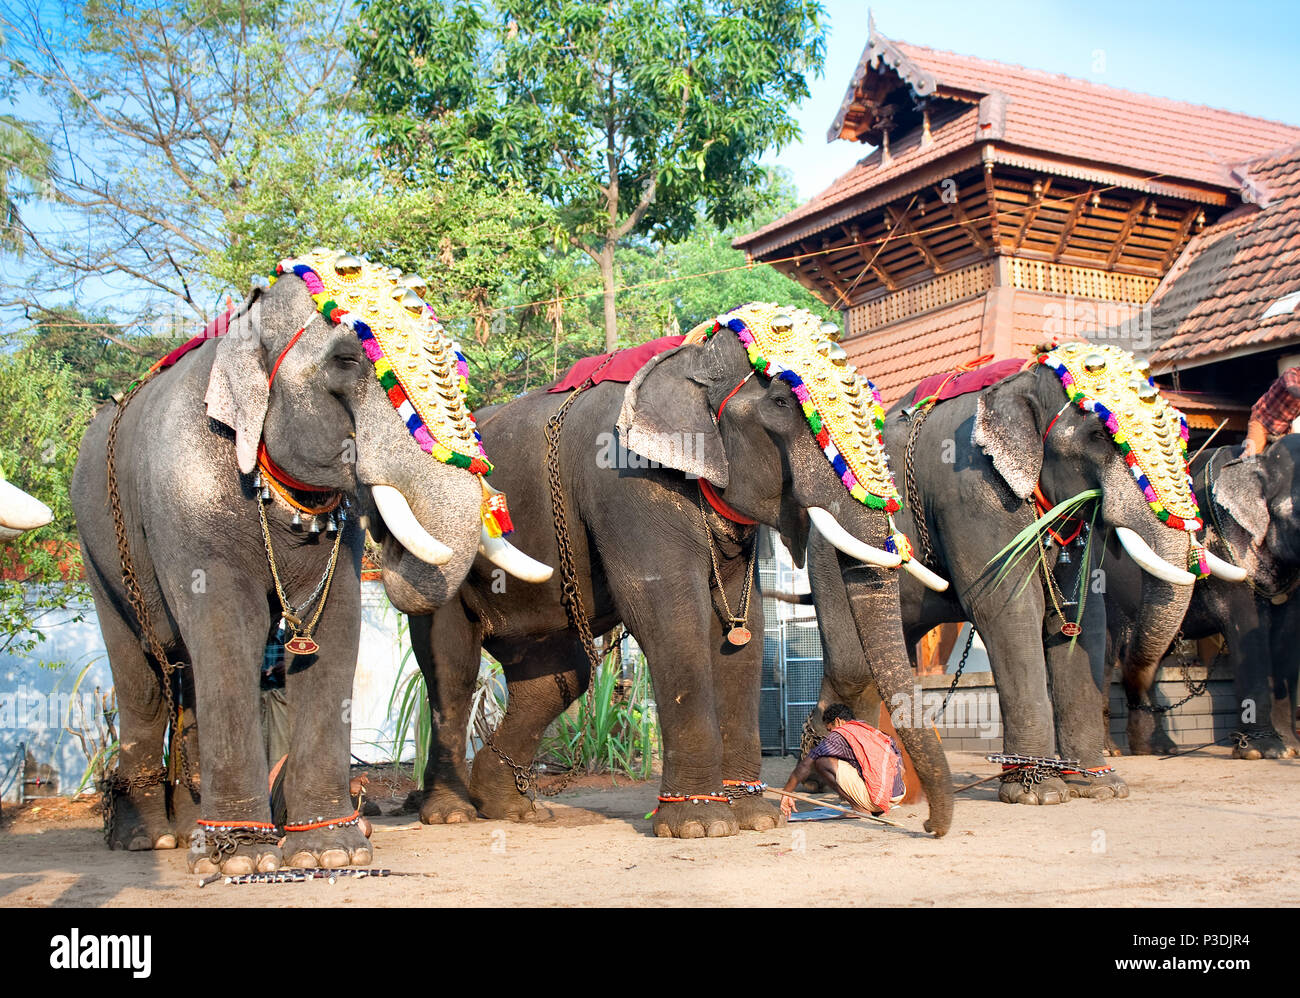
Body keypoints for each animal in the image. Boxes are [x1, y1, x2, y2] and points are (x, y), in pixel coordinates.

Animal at [70, 250, 549, 875]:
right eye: (347, 360)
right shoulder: (185, 497)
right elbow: (228, 626)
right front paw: (244, 861)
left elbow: (337, 627)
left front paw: (330, 851)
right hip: (96, 546)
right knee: (142, 677)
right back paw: (150, 839)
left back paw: (191, 824)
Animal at [401, 306, 954, 839]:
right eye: (780, 403)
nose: (929, 825)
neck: (690, 352)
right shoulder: (624, 479)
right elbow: (669, 612)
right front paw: (699, 825)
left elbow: (743, 628)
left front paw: (753, 818)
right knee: (453, 670)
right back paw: (452, 813)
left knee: (558, 678)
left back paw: (511, 808)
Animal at [803, 344, 1243, 805]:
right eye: (1099, 436)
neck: (1024, 380)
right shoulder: (975, 489)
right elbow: (1010, 607)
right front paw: (1039, 792)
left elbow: (1084, 615)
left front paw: (1100, 786)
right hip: (829, 554)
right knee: (852, 665)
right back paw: (832, 779)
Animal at [1106, 437, 1300, 758]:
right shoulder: (1225, 549)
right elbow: (1248, 630)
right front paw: (1262, 751)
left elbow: (1286, 640)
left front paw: (1291, 749)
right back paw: (1112, 752)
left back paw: (1158, 749)